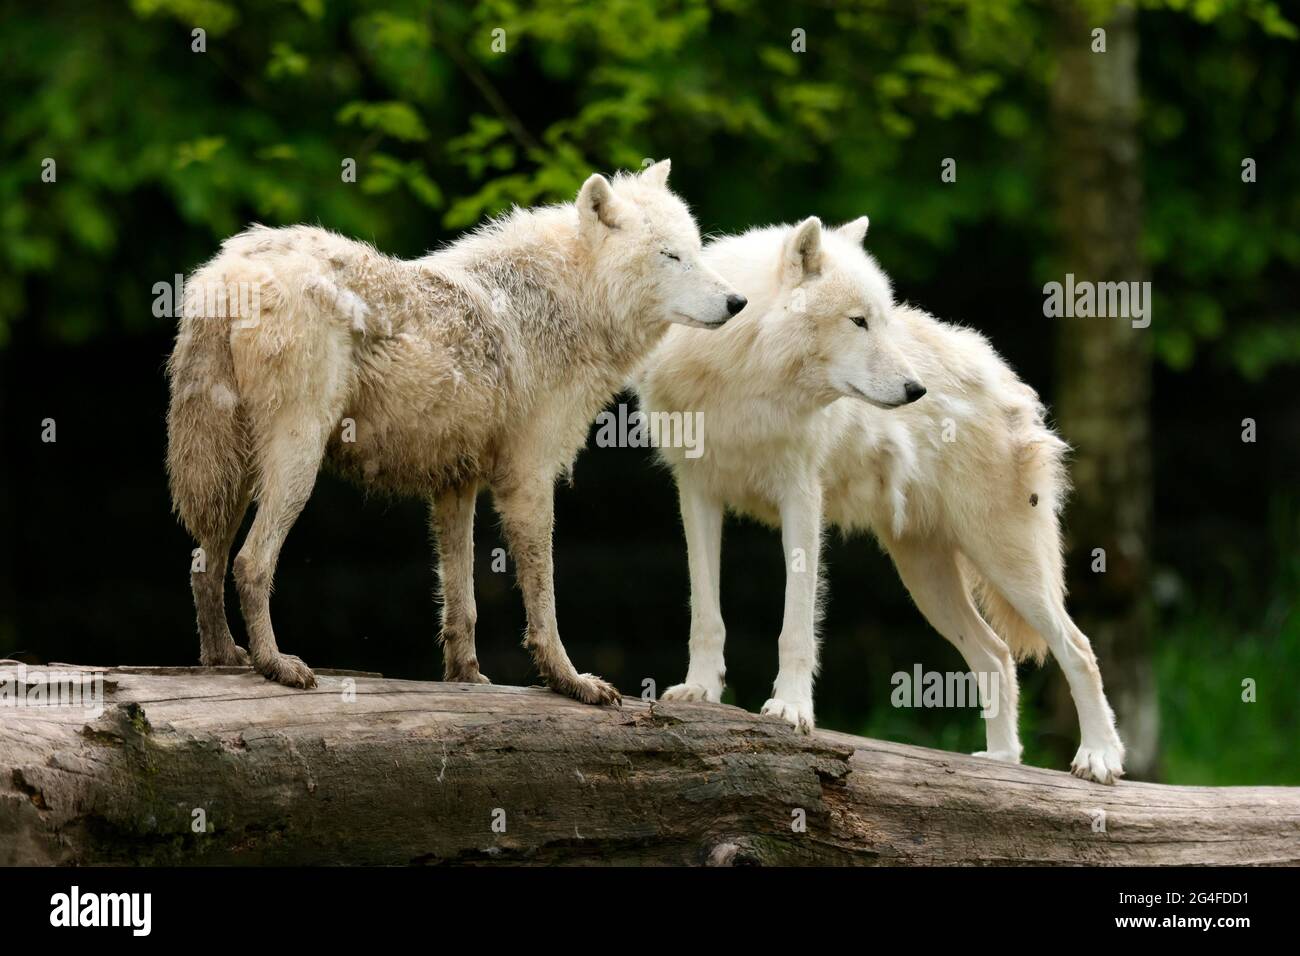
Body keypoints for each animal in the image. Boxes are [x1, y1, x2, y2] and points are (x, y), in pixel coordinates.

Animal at [166, 160, 745, 703]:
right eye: (670, 257)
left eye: (696, 251)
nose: (737, 302)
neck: (569, 303)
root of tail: (226, 273)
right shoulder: (528, 479)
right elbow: (544, 600)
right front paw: (570, 681)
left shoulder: (456, 483)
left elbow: (461, 600)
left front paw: (466, 677)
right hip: (294, 461)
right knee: (250, 562)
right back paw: (275, 665)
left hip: (232, 472)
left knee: (203, 564)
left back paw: (223, 658)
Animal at [637, 216, 1126, 783]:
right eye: (858, 321)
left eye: (883, 321)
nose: (917, 390)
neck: (744, 373)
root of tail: (1006, 378)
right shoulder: (697, 492)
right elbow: (705, 613)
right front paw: (699, 691)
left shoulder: (802, 498)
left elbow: (796, 625)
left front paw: (791, 710)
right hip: (926, 578)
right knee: (997, 654)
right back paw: (1001, 763)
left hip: (1006, 562)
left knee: (1078, 648)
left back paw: (1099, 757)